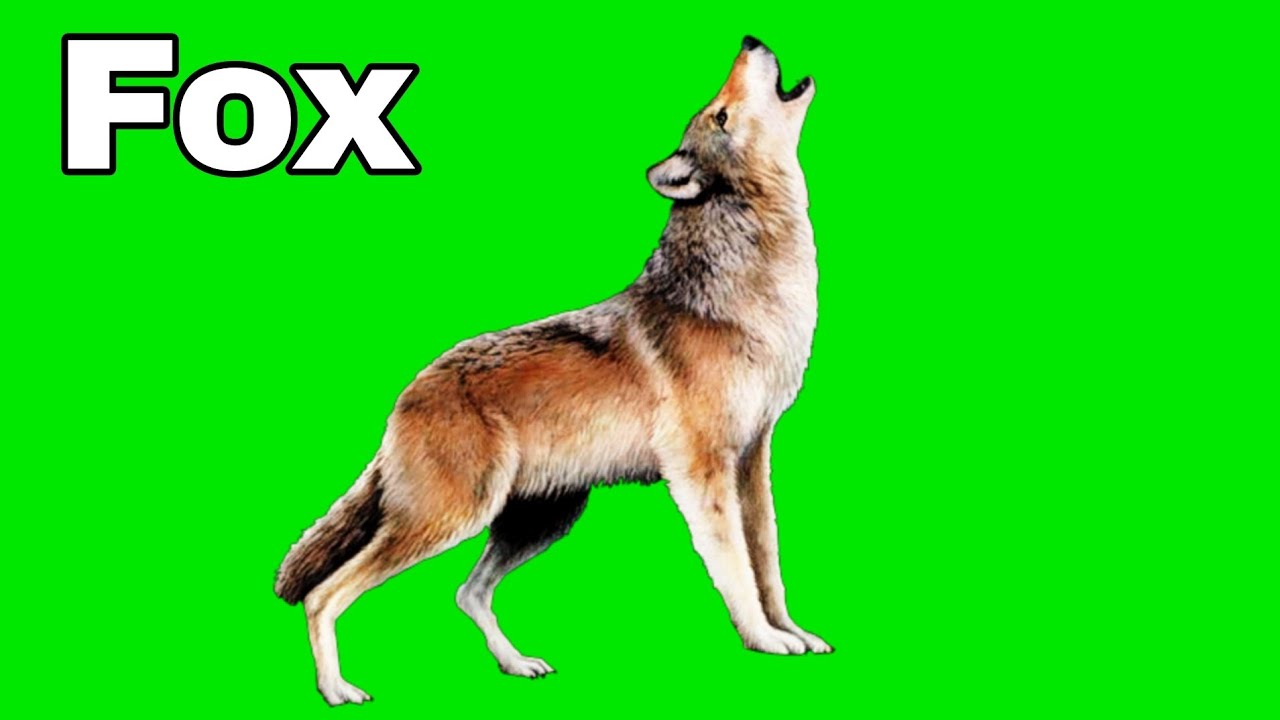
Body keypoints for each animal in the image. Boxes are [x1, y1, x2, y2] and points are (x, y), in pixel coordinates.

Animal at [275, 36, 829, 705]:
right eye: (717, 115)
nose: (751, 41)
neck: (746, 294)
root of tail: (407, 397)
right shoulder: (702, 472)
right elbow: (739, 572)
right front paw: (766, 641)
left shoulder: (752, 459)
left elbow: (769, 565)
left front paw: (792, 632)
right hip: (452, 519)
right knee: (323, 594)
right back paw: (337, 691)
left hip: (541, 521)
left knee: (467, 592)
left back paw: (516, 665)